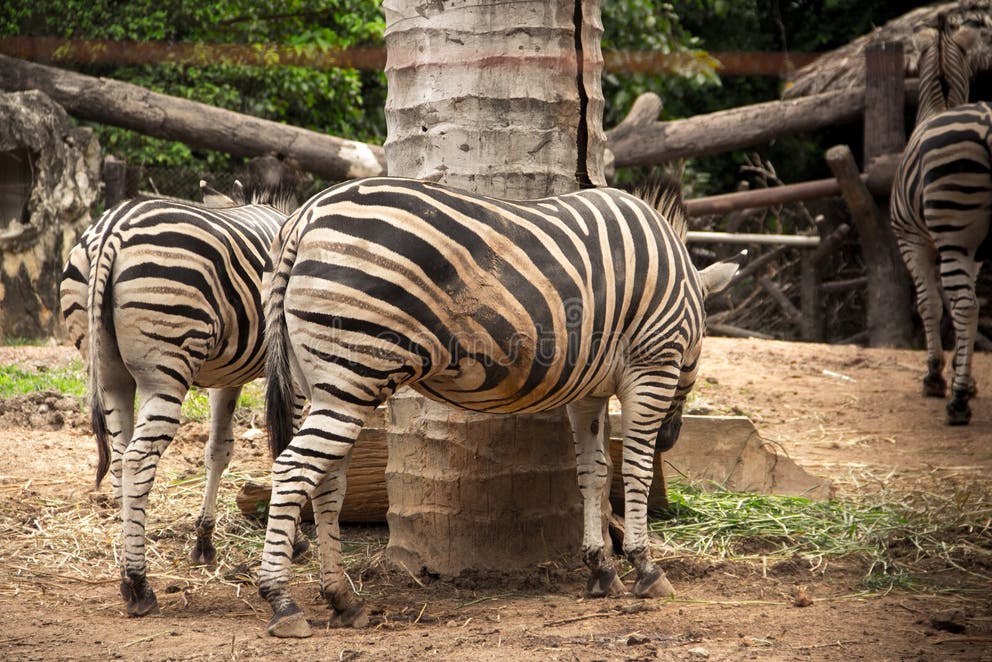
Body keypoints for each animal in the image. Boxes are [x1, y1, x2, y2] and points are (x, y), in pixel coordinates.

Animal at [59, 183, 307, 618]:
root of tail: (112, 229)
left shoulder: (226, 377)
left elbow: (218, 451)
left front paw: (204, 540)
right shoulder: (286, 372)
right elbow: (282, 446)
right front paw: (296, 540)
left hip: (108, 373)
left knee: (121, 460)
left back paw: (126, 573)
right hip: (165, 370)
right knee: (139, 459)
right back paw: (139, 584)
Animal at [258, 176, 741, 637]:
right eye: (699, 346)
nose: (672, 438)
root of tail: (305, 216)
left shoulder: (587, 391)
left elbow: (594, 474)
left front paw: (601, 568)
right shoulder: (653, 364)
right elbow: (636, 470)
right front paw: (645, 567)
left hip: (326, 382)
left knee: (325, 482)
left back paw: (343, 600)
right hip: (353, 372)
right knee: (293, 470)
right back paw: (283, 603)